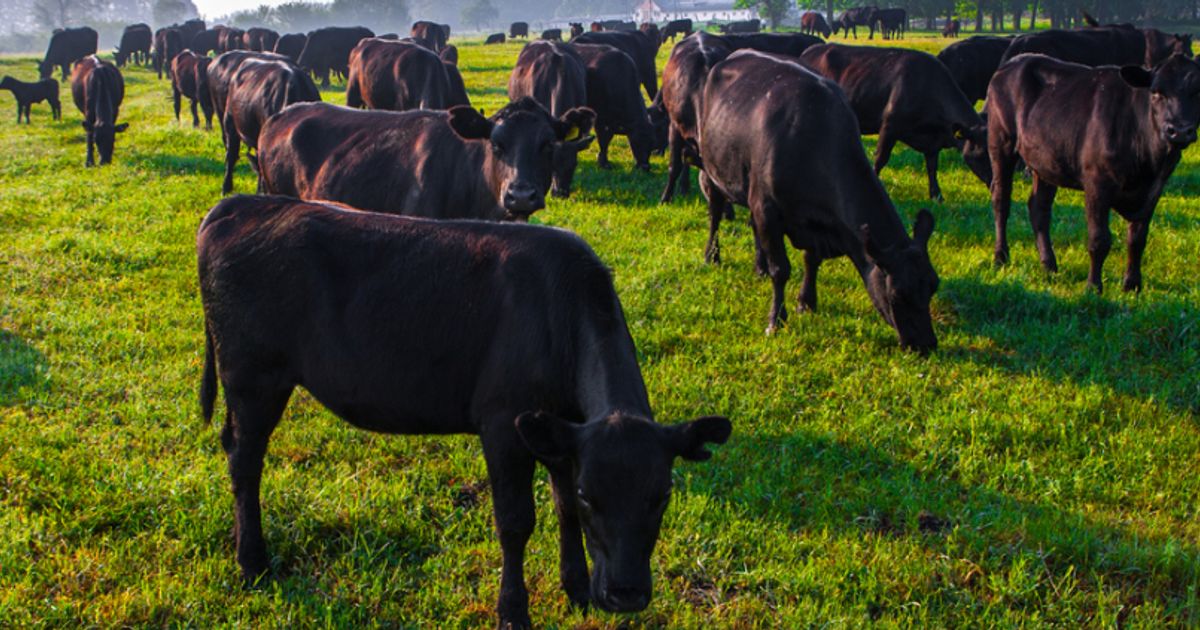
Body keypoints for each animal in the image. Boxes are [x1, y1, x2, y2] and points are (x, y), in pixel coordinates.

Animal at [197, 193, 732, 630]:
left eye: (662, 495)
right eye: (591, 495)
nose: (625, 595)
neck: (562, 311)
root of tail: (238, 205)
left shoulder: (560, 432)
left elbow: (560, 510)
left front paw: (576, 588)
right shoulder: (503, 425)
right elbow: (516, 523)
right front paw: (513, 612)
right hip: (254, 377)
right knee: (245, 459)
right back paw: (253, 563)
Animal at [572, 43, 657, 173]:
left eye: (652, 143)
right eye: (637, 141)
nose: (645, 167)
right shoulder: (601, 118)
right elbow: (603, 139)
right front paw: (603, 163)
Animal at [699, 50, 939, 350]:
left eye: (933, 285)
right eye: (898, 295)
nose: (926, 344)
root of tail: (735, 54)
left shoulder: (813, 221)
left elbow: (810, 261)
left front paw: (806, 302)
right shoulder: (768, 209)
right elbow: (781, 270)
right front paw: (775, 321)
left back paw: (759, 266)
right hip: (714, 170)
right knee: (715, 215)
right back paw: (712, 256)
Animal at [799, 44, 990, 201]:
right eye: (981, 154)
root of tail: (809, 51)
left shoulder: (932, 141)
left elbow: (932, 166)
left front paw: (937, 196)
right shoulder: (890, 125)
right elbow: (880, 158)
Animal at [985, 53, 1200, 293]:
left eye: (1197, 91)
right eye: (1156, 92)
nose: (1179, 131)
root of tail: (1014, 61)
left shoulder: (1154, 190)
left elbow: (1137, 239)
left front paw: (1132, 285)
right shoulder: (1097, 184)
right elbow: (1099, 239)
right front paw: (1093, 286)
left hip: (1045, 160)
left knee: (1039, 207)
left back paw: (1049, 265)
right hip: (1000, 142)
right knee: (1001, 200)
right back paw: (1001, 257)